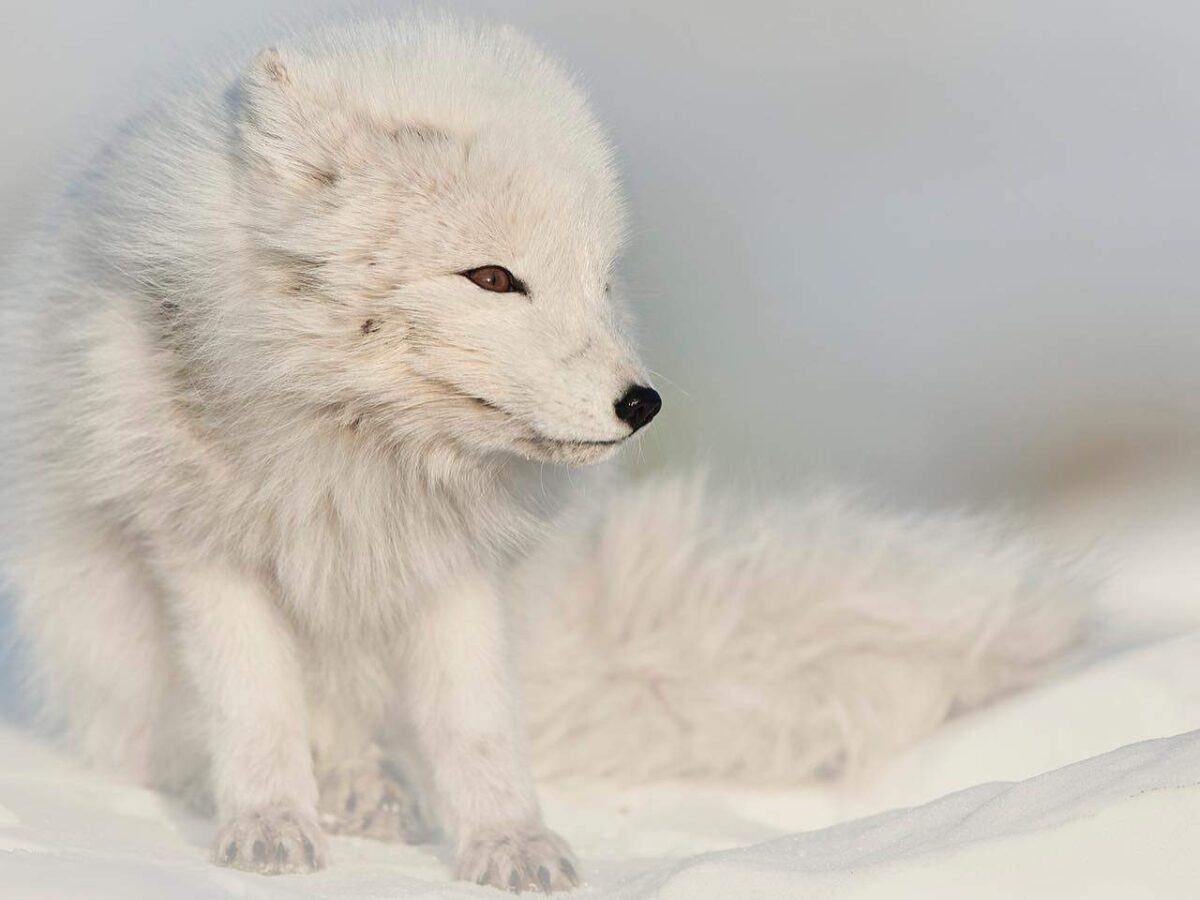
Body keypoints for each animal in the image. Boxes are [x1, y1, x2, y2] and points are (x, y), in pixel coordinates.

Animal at [0, 13, 1086, 894]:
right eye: (492, 278)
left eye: (601, 282)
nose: (642, 403)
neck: (363, 452)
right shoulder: (204, 552)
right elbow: (256, 711)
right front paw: (270, 830)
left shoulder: (458, 569)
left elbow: (479, 726)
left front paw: (511, 849)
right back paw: (344, 794)